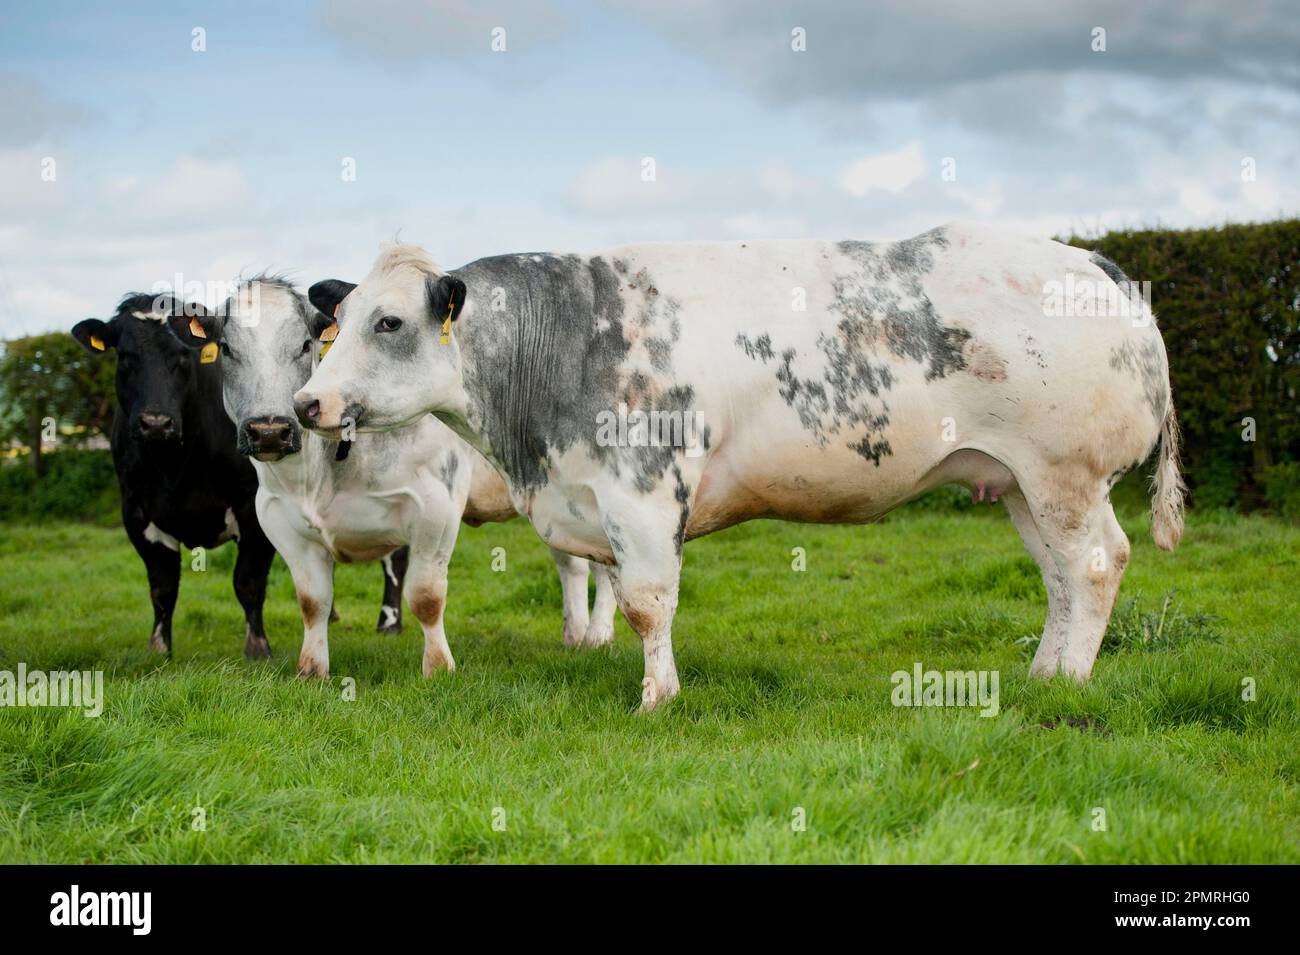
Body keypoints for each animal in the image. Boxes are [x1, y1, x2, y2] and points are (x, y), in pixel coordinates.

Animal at [70, 293, 402, 659]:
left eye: (183, 358)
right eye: (126, 358)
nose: (155, 423)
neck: (176, 465)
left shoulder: (252, 509)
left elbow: (248, 582)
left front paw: (257, 648)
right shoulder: (136, 511)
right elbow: (162, 587)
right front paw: (159, 648)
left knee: (395, 558)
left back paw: (390, 622)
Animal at [202, 277, 616, 678]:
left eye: (305, 345)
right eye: (226, 349)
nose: (269, 430)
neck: (317, 474)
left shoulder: (436, 505)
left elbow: (426, 596)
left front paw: (438, 668)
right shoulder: (278, 518)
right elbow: (312, 602)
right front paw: (311, 670)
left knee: (601, 564)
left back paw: (596, 634)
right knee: (572, 563)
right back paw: (574, 634)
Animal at [293, 224, 1185, 710]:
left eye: (389, 321)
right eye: (336, 320)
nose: (306, 403)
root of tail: (1100, 266)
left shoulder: (645, 491)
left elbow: (647, 603)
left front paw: (657, 697)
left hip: (1066, 473)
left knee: (1097, 563)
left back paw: (1071, 681)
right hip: (1020, 483)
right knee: (1061, 576)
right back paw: (1042, 673)